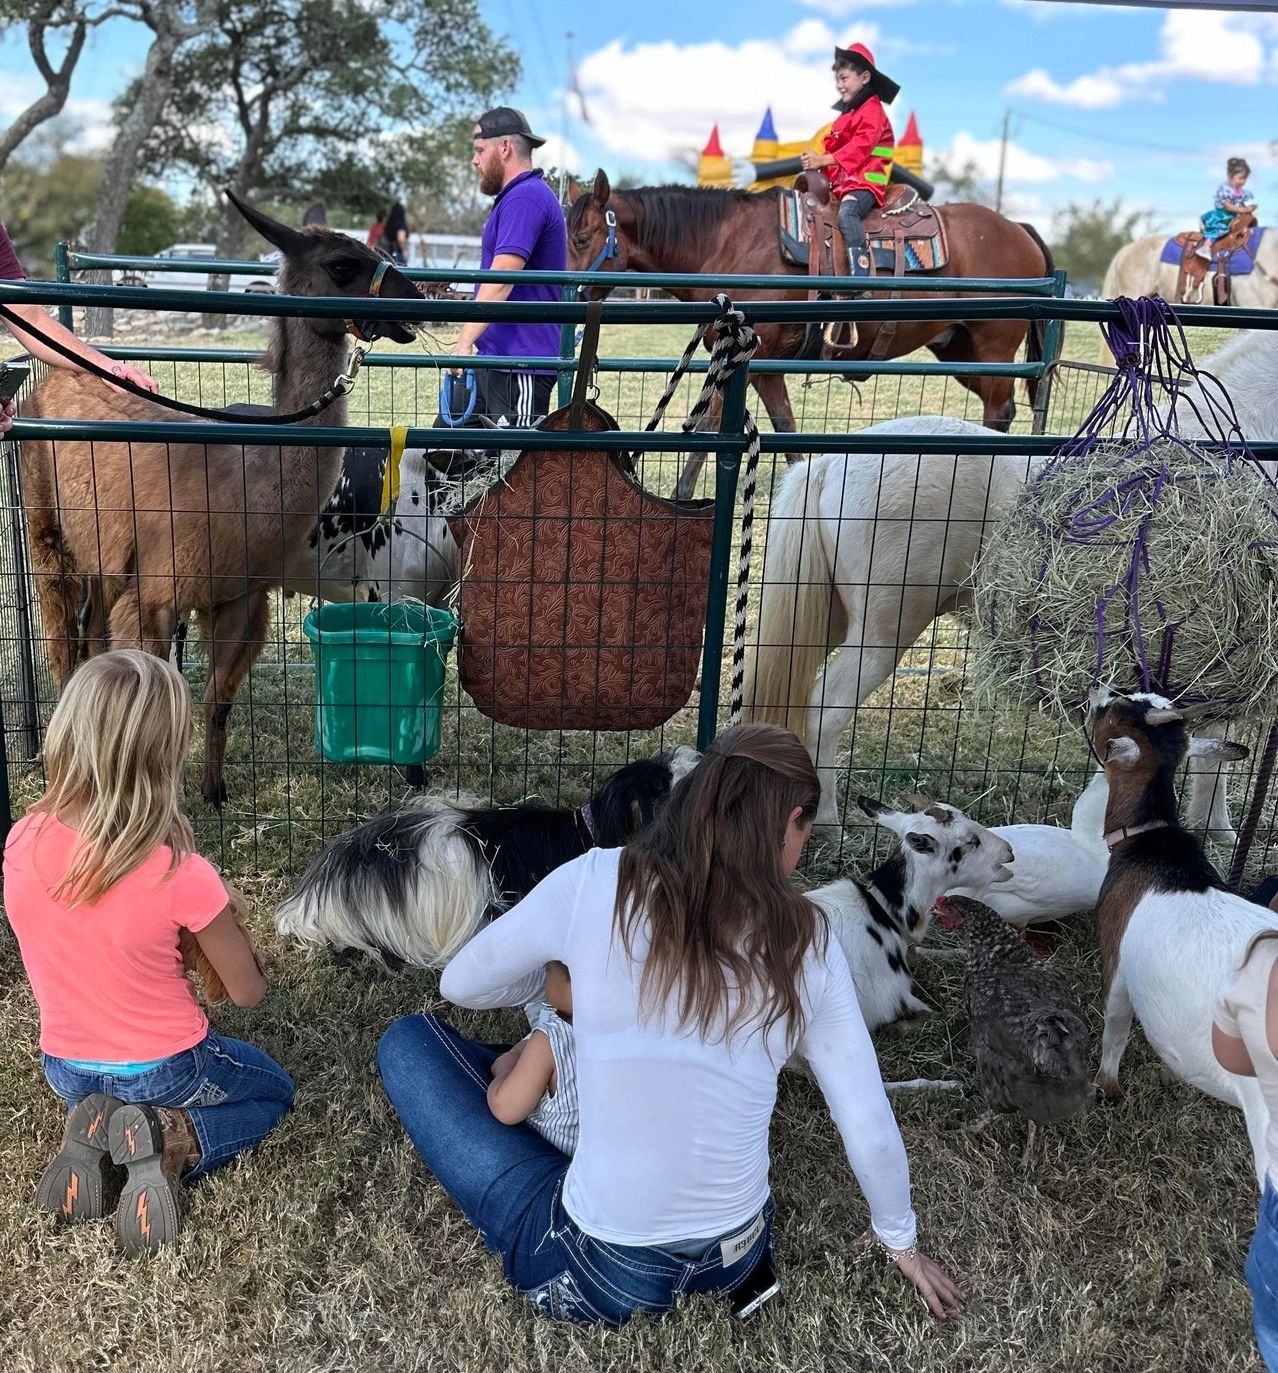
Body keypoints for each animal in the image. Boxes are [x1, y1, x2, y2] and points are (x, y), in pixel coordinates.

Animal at [20, 192, 424, 804]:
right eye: (342, 264)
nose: (417, 301)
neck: (241, 483)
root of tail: (60, 374)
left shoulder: (238, 598)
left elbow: (216, 703)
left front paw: (215, 792)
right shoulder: (156, 595)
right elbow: (156, 703)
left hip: (105, 552)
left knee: (90, 632)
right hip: (47, 524)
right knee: (63, 639)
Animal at [566, 169, 1056, 439]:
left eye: (582, 238)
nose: (568, 294)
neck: (727, 242)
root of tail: (1020, 228)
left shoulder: (750, 360)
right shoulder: (755, 367)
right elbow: (778, 428)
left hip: (995, 350)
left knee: (1000, 413)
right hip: (960, 352)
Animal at [744, 328, 1278, 838]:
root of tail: (830, 461)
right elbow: (1216, 756)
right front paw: (1221, 831)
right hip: (881, 635)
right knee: (823, 713)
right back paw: (829, 824)